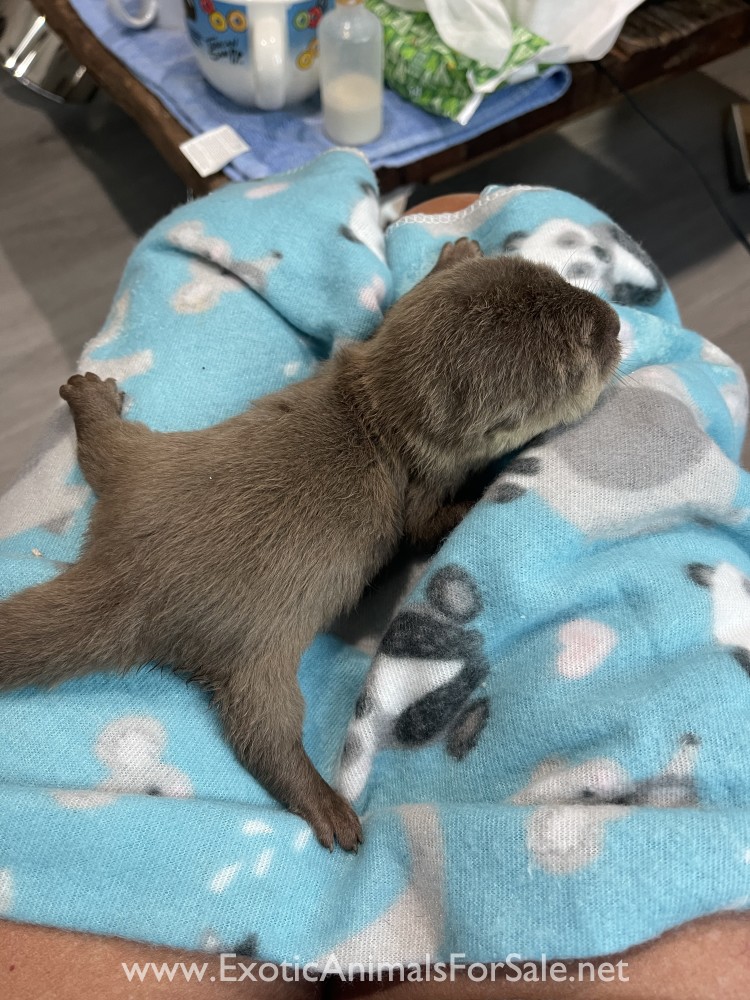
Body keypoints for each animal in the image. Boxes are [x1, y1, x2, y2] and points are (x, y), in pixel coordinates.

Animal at [0, 239, 621, 850]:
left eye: (562, 280)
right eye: (581, 361)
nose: (614, 322)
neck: (377, 413)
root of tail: (124, 573)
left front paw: (454, 252)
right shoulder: (419, 487)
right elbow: (424, 528)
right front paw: (483, 493)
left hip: (147, 467)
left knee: (108, 448)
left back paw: (90, 399)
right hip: (256, 653)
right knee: (261, 735)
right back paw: (325, 805)